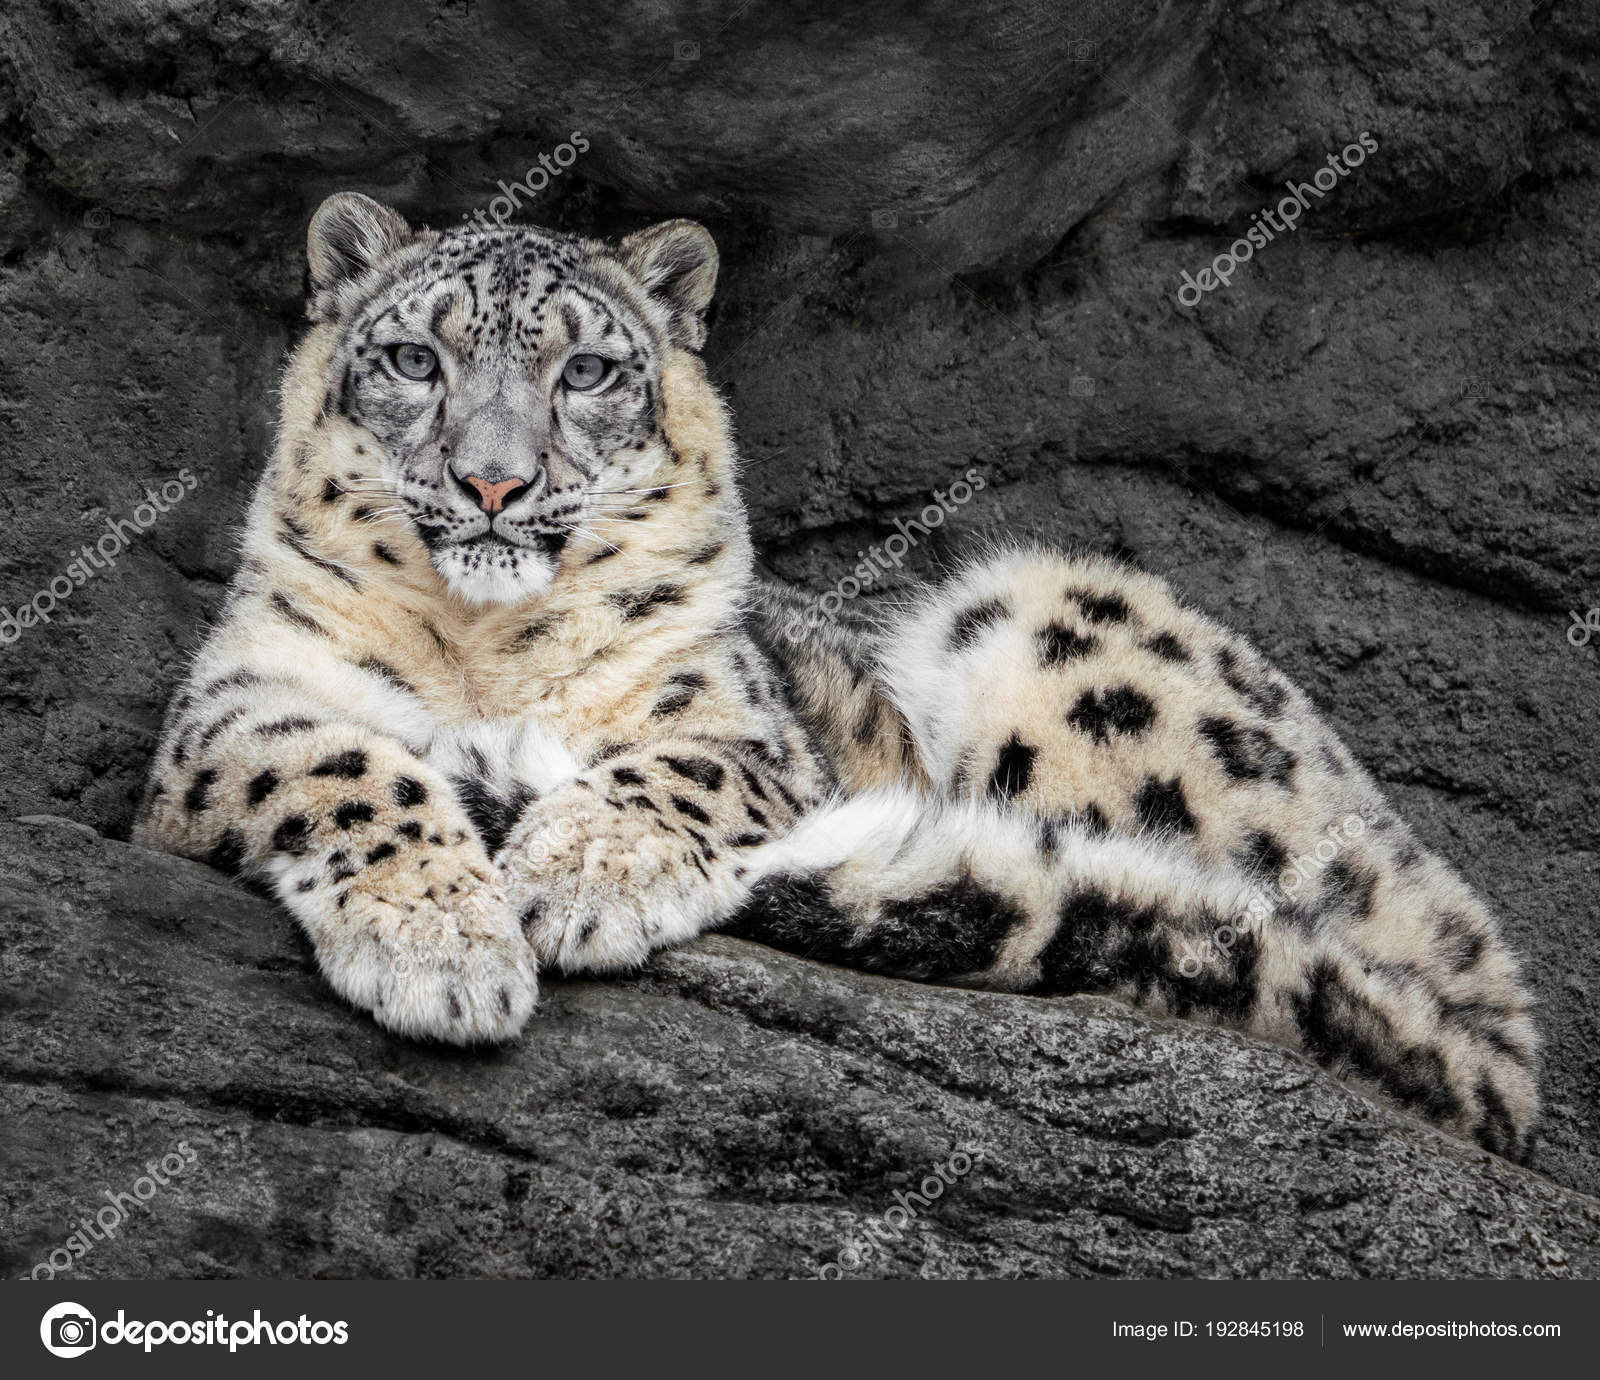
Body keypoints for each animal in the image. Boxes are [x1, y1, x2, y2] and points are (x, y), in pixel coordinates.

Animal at [134, 192, 1539, 1161]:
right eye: (414, 360)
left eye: (585, 370)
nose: (493, 481)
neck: (485, 655)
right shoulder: (237, 703)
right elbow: (345, 766)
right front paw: (439, 945)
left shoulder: (745, 726)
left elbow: (676, 770)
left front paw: (572, 884)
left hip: (1047, 623)